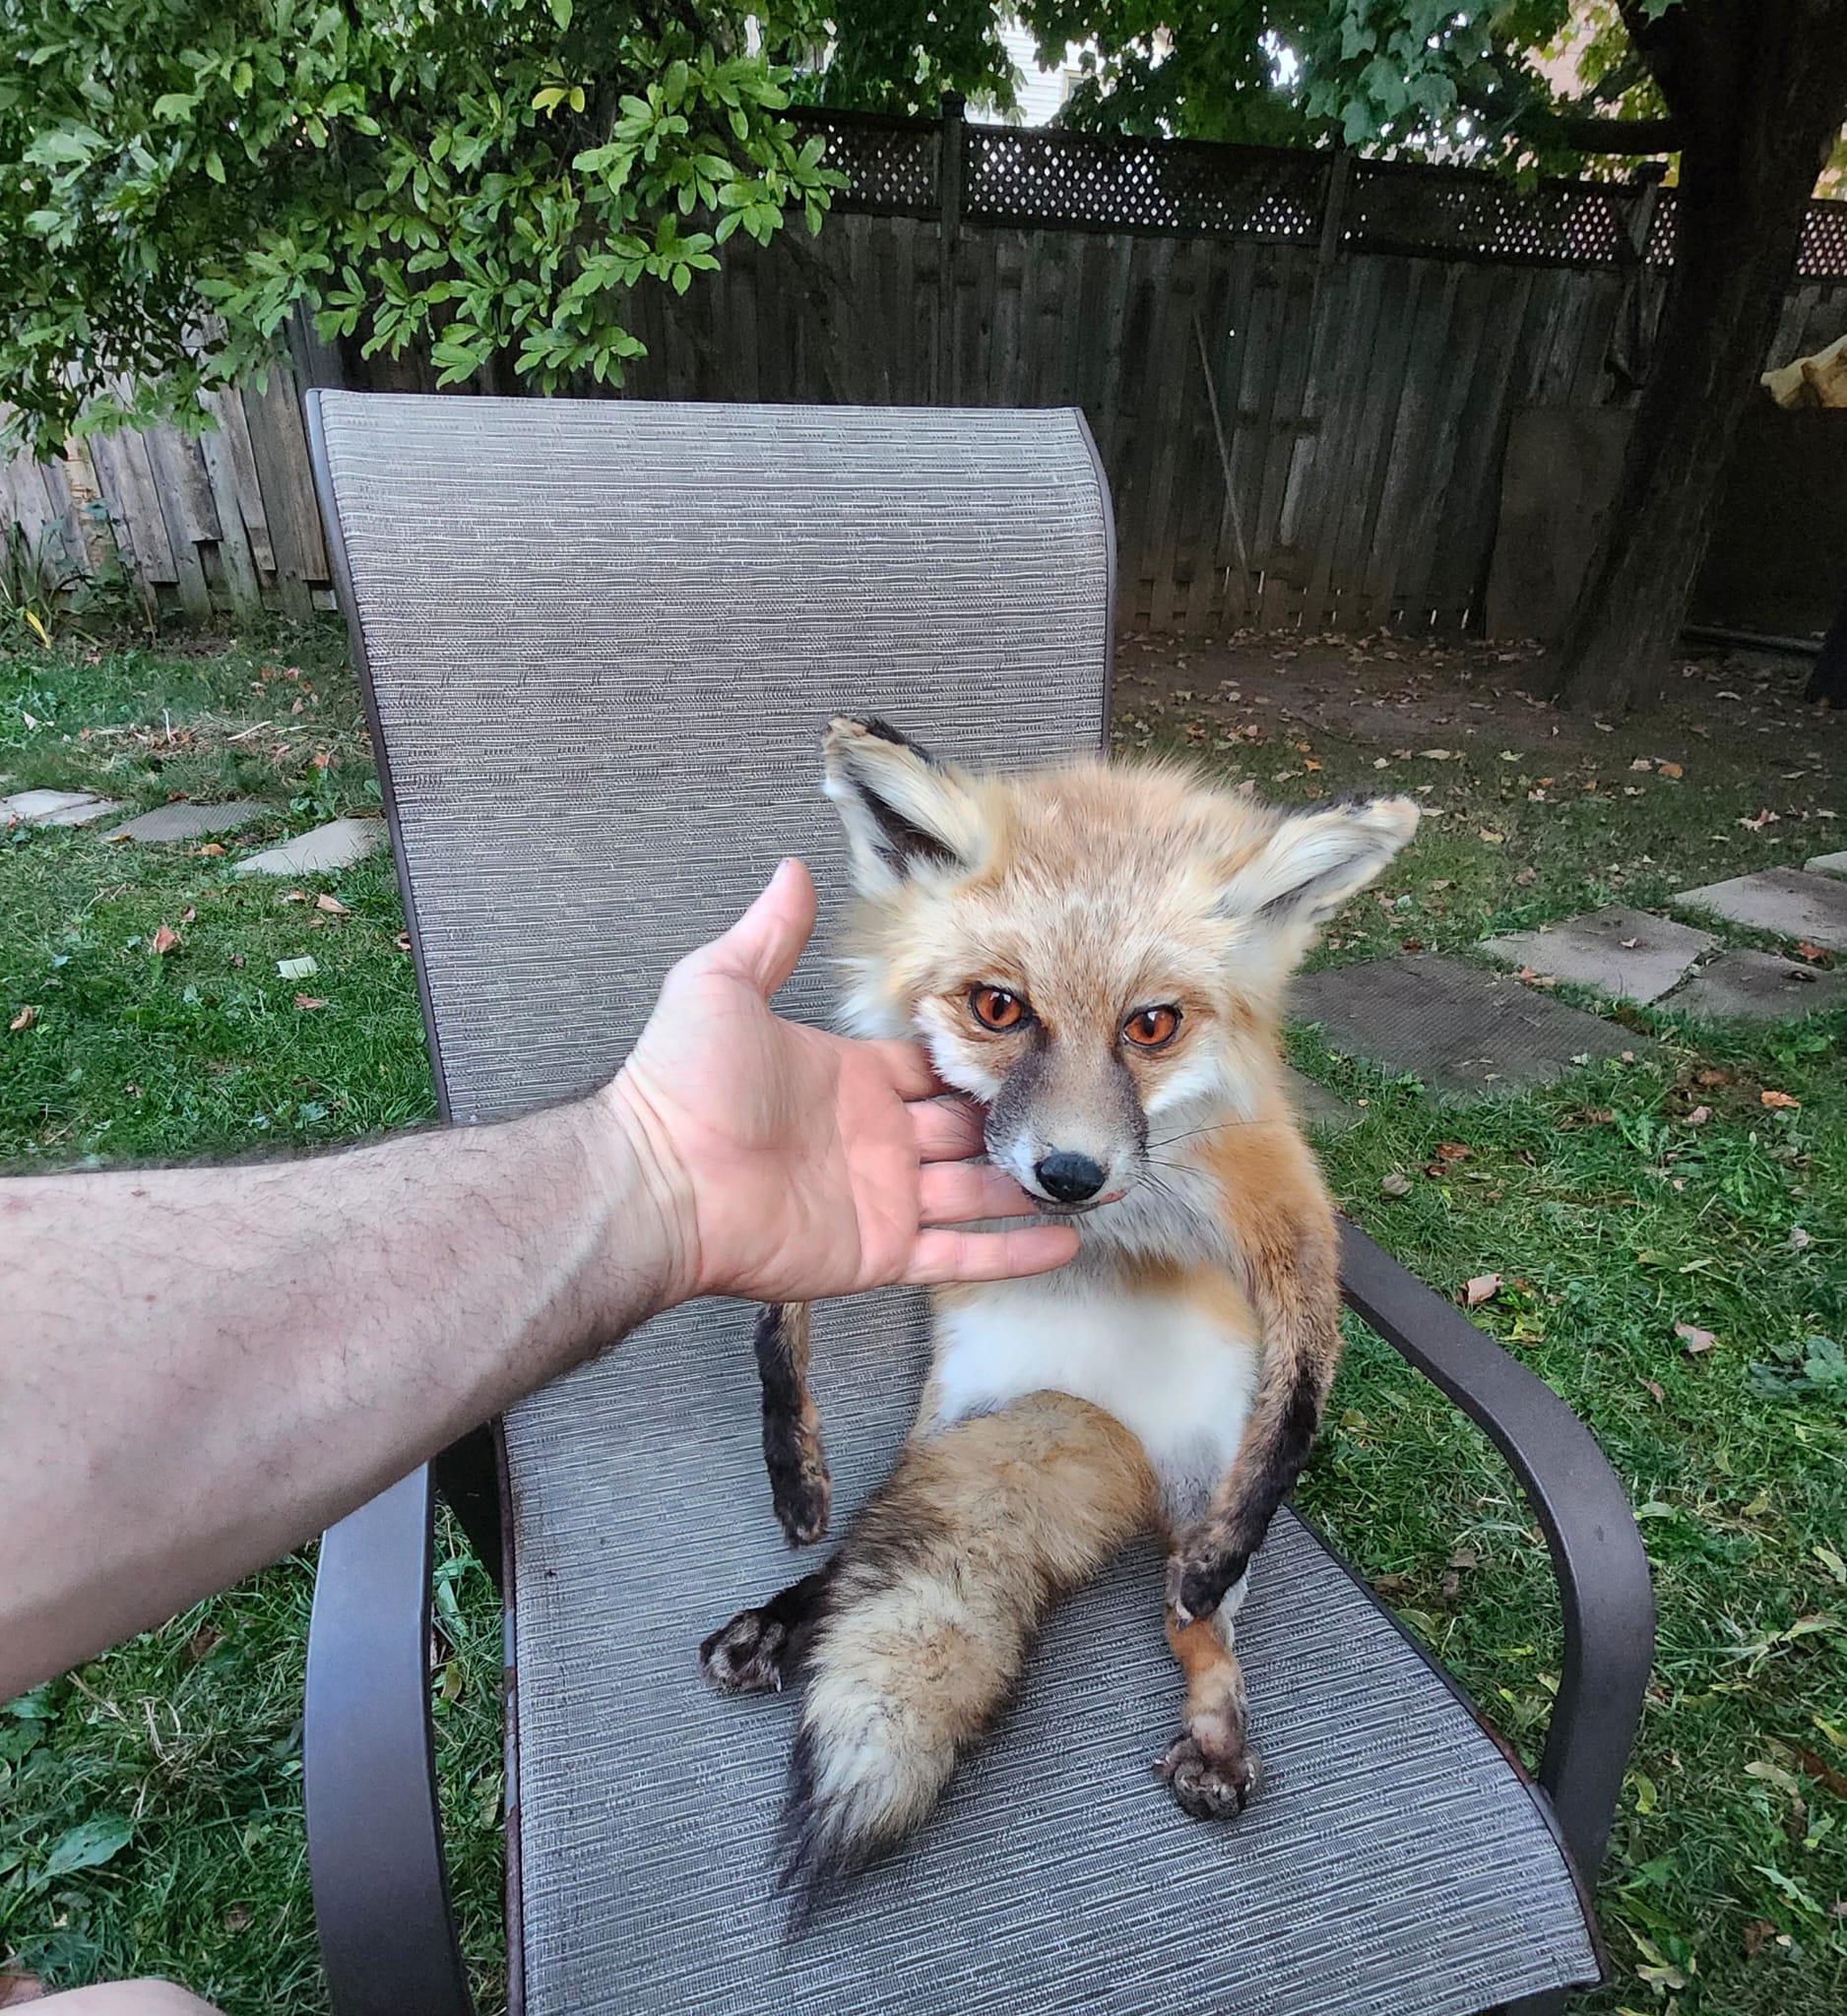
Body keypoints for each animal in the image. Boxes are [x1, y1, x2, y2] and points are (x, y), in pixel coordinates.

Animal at [700, 716, 1419, 1912]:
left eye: (1152, 1025)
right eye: (1000, 1007)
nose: (1071, 1176)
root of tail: (1097, 1413)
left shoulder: (1278, 1194)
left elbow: (1303, 1392)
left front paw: (1254, 1505)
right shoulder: (861, 1175)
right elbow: (775, 1314)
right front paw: (791, 1466)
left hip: (1189, 1508)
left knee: (1198, 1634)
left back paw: (1217, 1732)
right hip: (937, 1434)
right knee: (856, 1565)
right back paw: (782, 1617)